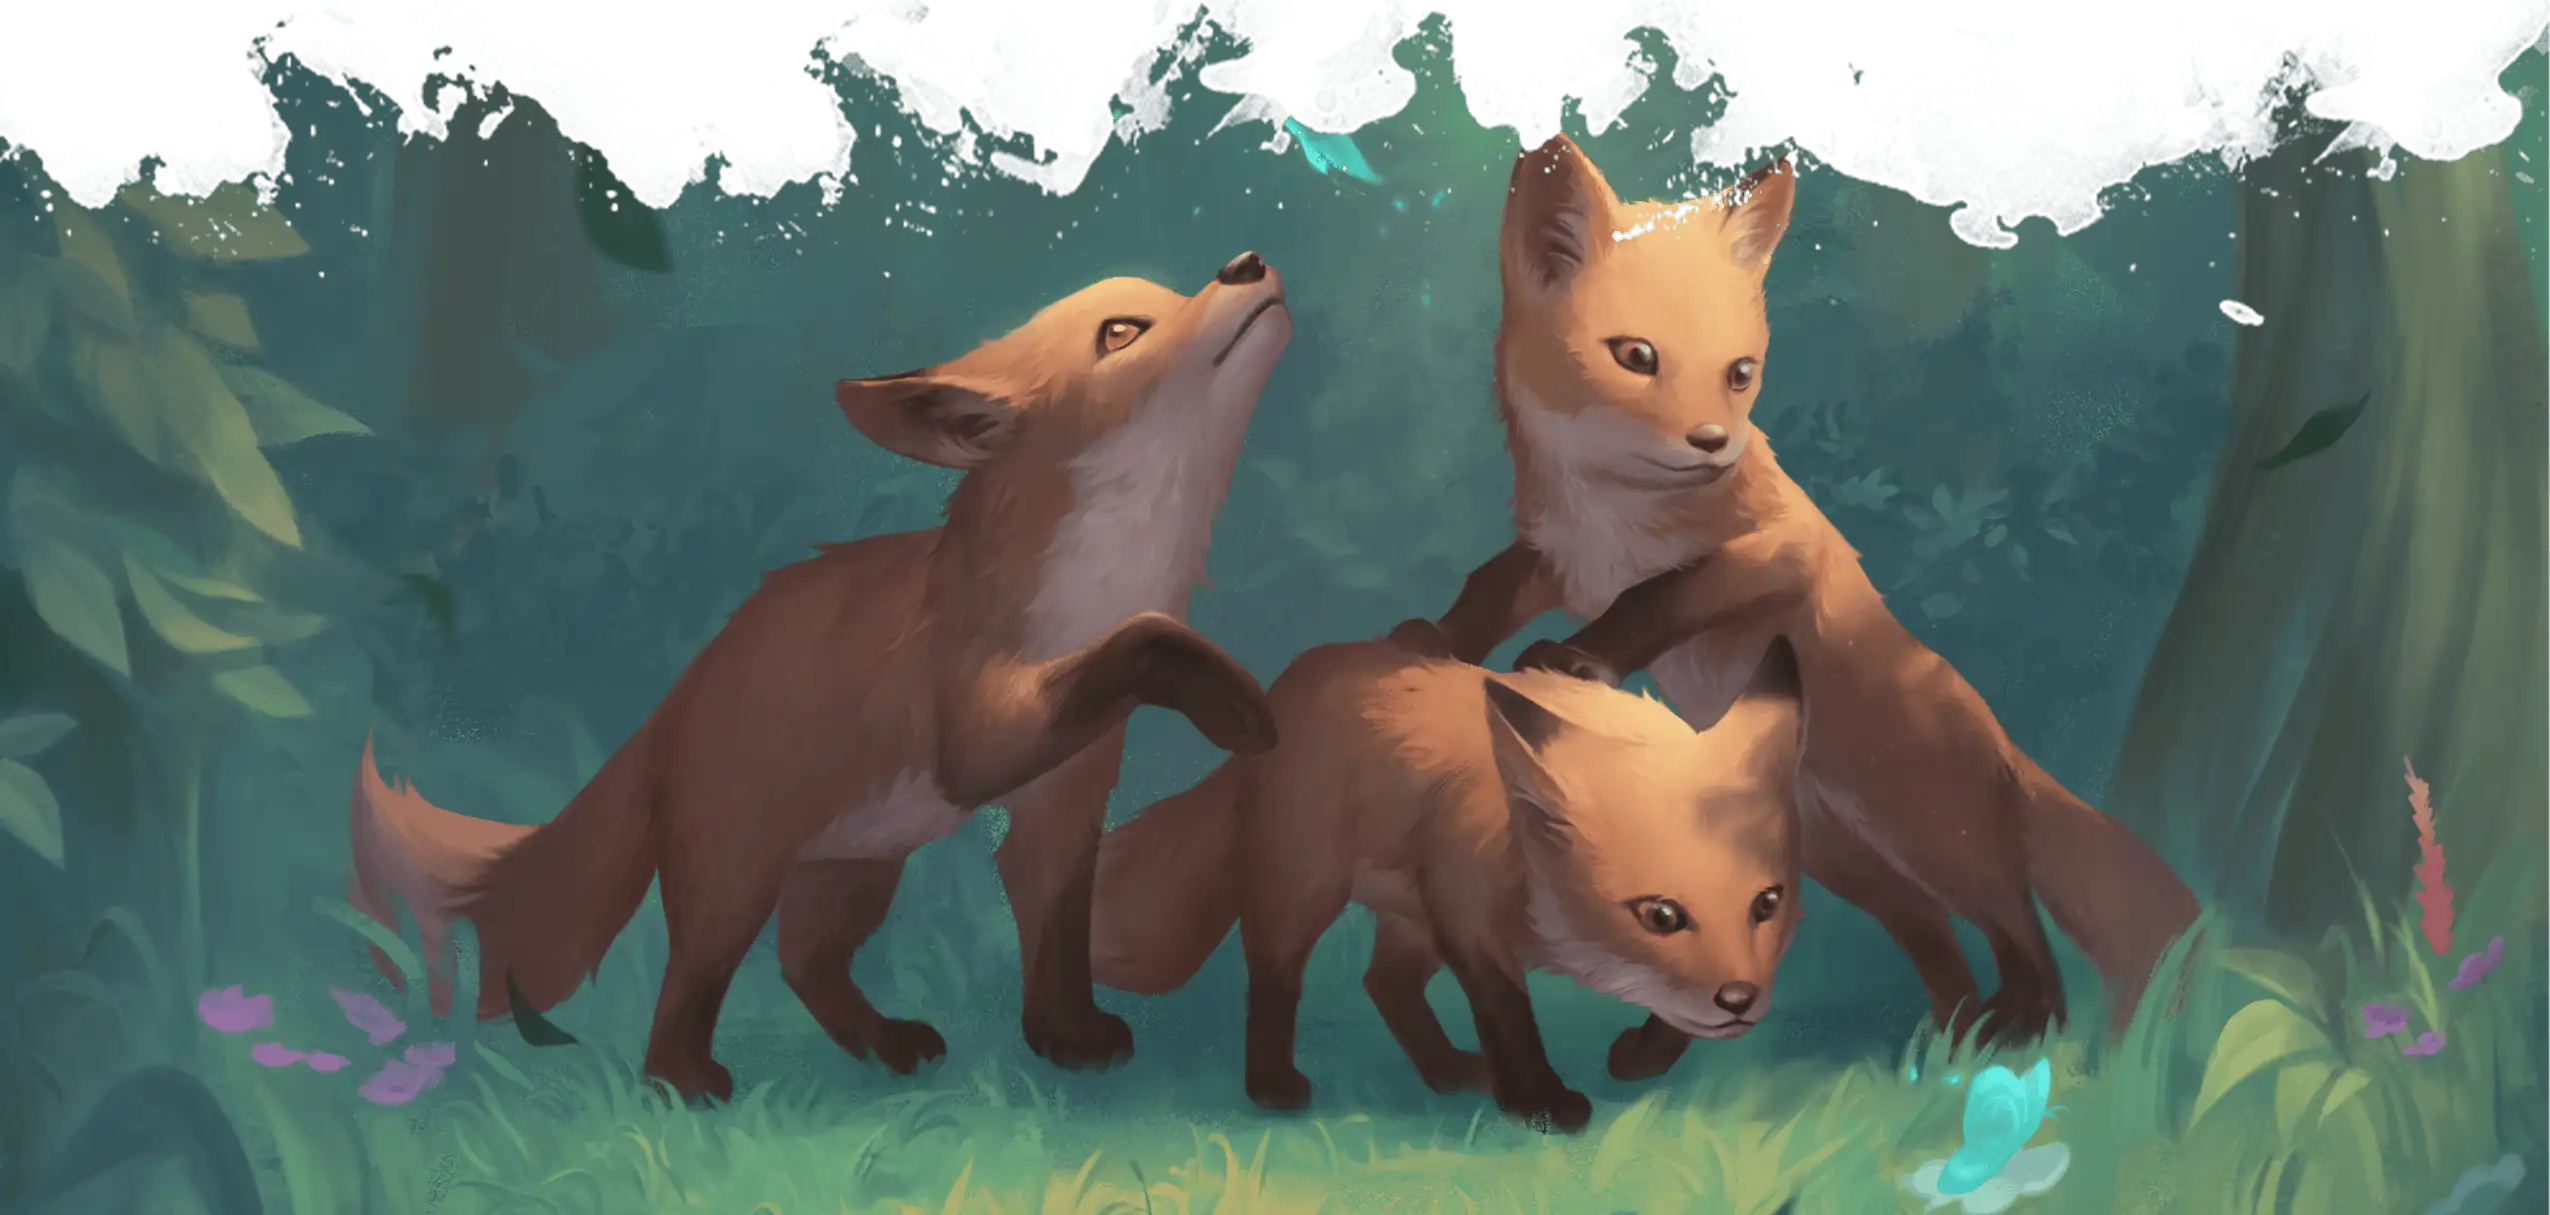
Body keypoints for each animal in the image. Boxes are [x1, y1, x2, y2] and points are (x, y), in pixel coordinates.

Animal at [347, 252, 1295, 1103]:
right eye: (1123, 332)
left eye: (1171, 294)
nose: (1248, 264)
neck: (1096, 585)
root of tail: (681, 692)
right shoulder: (977, 724)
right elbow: (1144, 641)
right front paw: (1239, 706)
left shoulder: (1065, 798)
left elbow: (1056, 934)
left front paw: (1066, 1040)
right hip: (736, 874)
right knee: (696, 973)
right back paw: (684, 1083)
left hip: (855, 867)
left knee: (805, 963)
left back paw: (884, 1046)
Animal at [1088, 637, 1810, 1133]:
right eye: (1660, 915)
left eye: (1767, 903)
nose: (1741, 1001)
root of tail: (1291, 686)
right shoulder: (1471, 913)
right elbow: (1508, 1015)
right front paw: (1538, 1104)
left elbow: (1676, 1010)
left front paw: (1637, 1057)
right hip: (1307, 892)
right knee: (1274, 978)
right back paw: (1272, 1086)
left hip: (1411, 917)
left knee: (1383, 982)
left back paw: (1445, 1072)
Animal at [1385, 134, 2201, 1080]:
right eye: (1636, 356)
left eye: (1740, 373)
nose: (1714, 444)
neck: (1610, 513)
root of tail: (1997, 737)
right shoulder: (1559, 555)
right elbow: (1487, 586)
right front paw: (1434, 638)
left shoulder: (1779, 547)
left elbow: (1667, 593)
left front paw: (1580, 657)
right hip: (1853, 866)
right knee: (1922, 932)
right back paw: (1927, 1043)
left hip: (1941, 838)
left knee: (2018, 921)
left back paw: (2021, 1022)